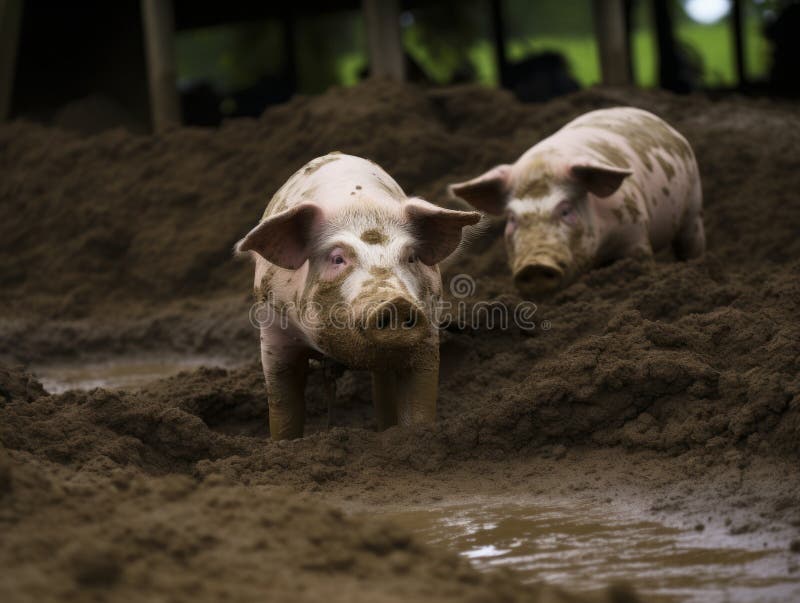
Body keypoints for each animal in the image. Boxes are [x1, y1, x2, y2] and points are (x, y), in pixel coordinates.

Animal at [236, 152, 480, 440]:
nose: (396, 302)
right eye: (337, 258)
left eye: (410, 257)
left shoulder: (428, 331)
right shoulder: (274, 332)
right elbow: (283, 404)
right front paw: (284, 443)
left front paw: (412, 435)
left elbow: (420, 397)